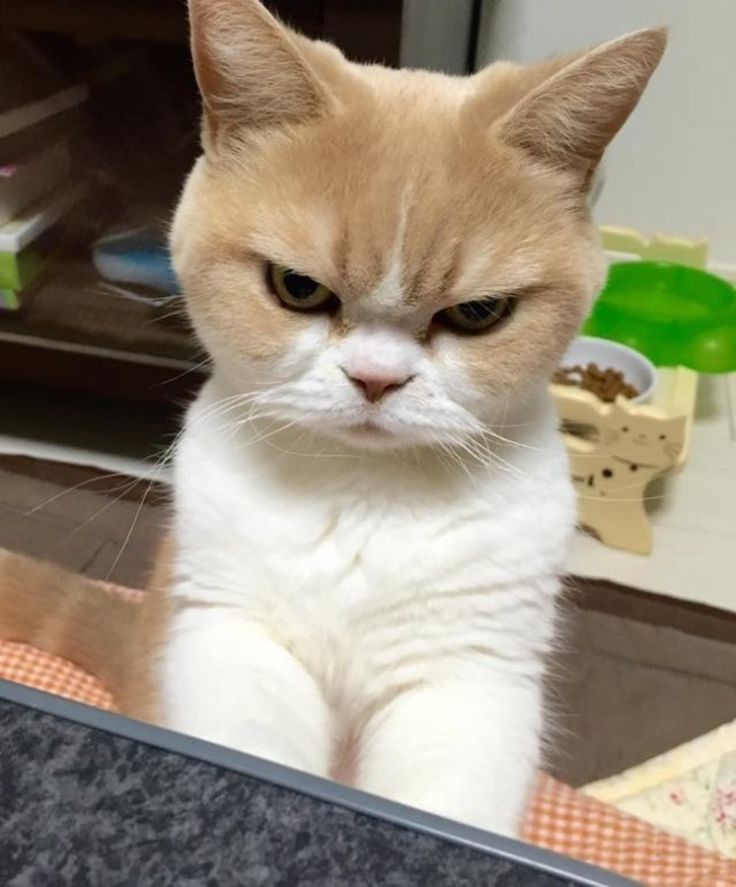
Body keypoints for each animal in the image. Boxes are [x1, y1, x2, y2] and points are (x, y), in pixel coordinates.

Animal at [0, 0, 668, 840]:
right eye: (297, 287)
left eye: (478, 313)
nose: (377, 378)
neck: (360, 501)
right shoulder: (234, 637)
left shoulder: (467, 678)